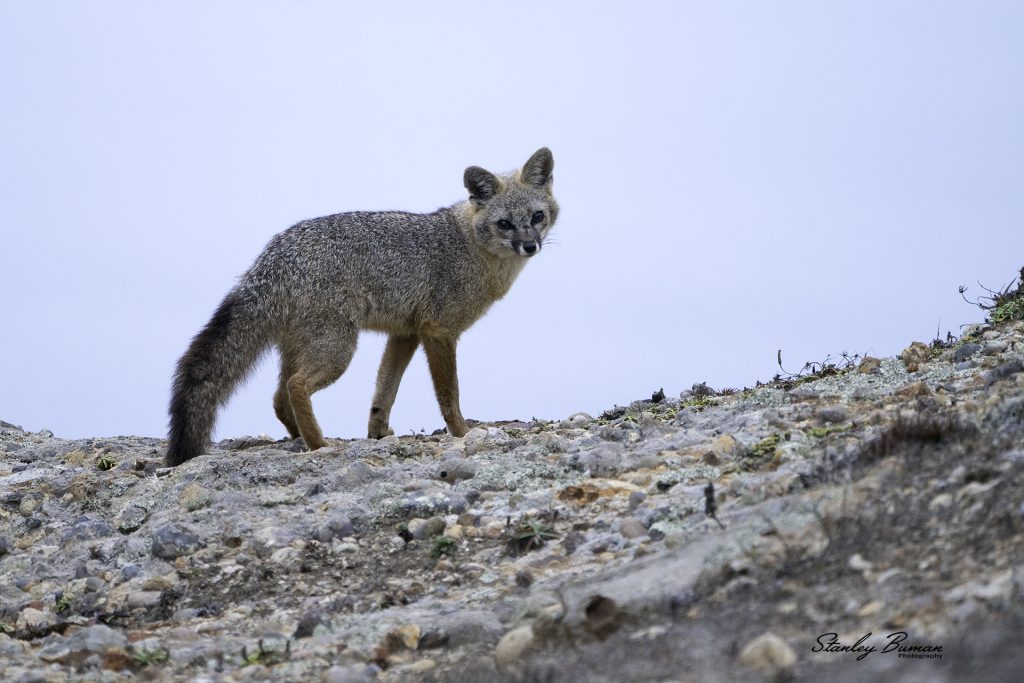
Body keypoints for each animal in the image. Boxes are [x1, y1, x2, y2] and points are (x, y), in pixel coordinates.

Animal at [166, 148, 558, 466]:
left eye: (537, 217)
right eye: (504, 223)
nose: (530, 246)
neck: (470, 246)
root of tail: (274, 254)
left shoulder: (405, 334)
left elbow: (385, 391)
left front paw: (378, 433)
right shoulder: (438, 331)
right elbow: (449, 393)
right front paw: (462, 432)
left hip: (305, 346)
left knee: (279, 398)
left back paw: (300, 439)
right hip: (338, 348)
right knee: (295, 387)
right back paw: (319, 444)